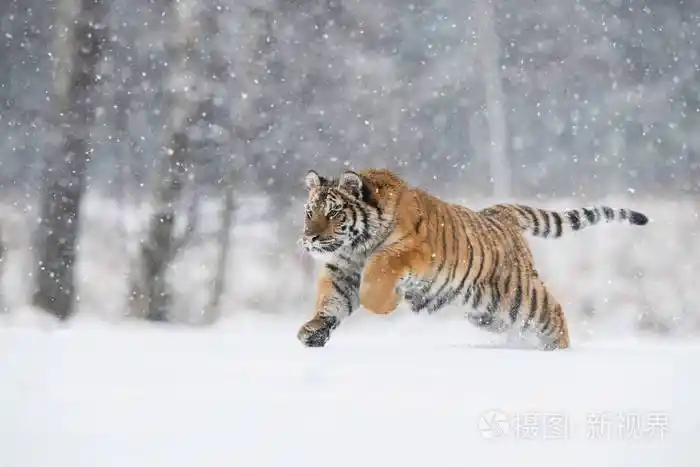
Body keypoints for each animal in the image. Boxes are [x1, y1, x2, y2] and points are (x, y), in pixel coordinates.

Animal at [297, 168, 649, 350]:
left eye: (334, 213)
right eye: (310, 212)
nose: (310, 238)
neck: (355, 246)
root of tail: (500, 212)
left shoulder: (409, 252)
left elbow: (377, 280)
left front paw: (389, 303)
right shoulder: (342, 271)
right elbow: (331, 302)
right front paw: (313, 332)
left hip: (520, 296)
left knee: (554, 314)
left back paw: (556, 352)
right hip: (490, 313)